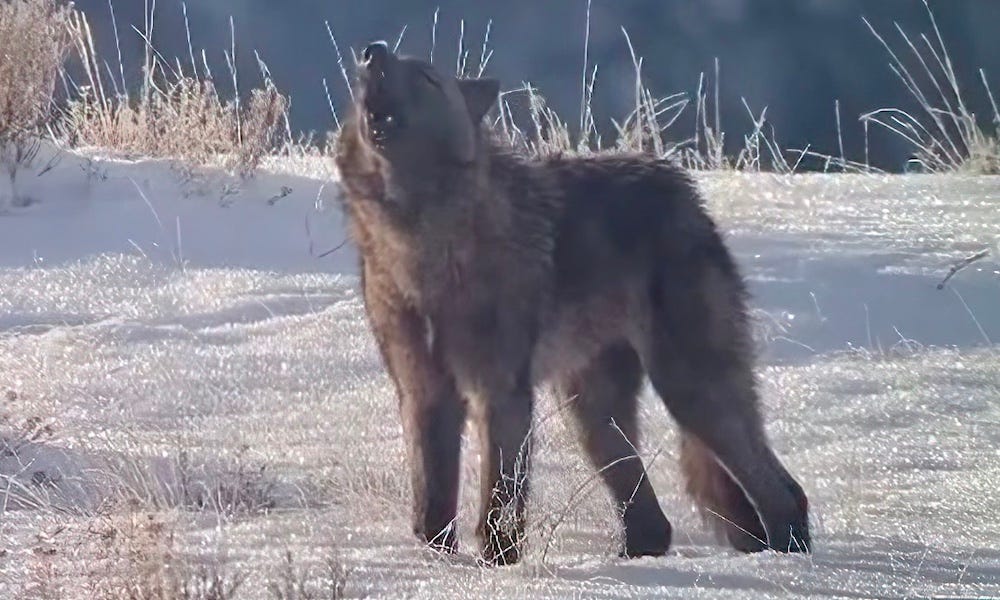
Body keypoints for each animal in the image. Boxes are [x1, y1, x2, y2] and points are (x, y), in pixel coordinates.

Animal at [333, 41, 811, 566]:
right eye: (381, 62)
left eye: (425, 76)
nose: (372, 51)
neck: (420, 241)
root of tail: (684, 193)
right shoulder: (423, 392)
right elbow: (432, 504)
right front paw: (436, 564)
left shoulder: (500, 391)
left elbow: (500, 497)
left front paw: (497, 565)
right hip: (594, 416)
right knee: (653, 522)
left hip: (691, 393)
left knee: (783, 491)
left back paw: (789, 559)